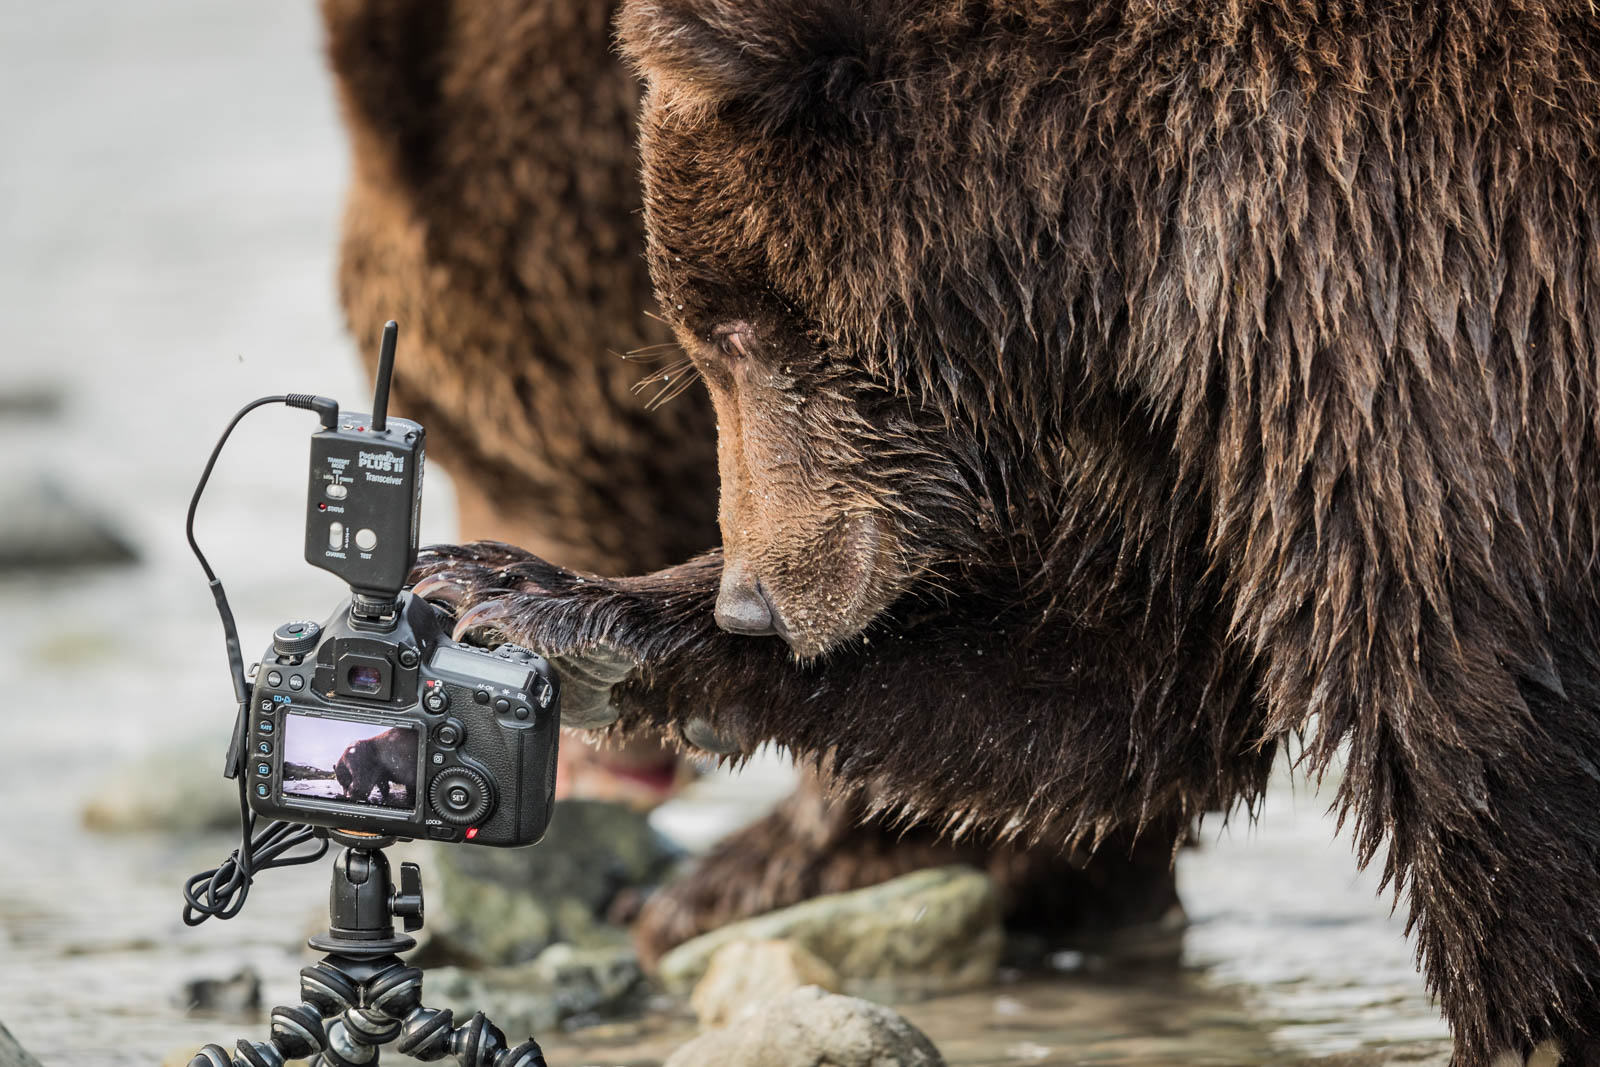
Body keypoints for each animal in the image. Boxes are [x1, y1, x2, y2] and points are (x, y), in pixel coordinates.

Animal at [409, 0, 1600, 1062]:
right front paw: (531, 606)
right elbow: (1118, 677)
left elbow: (1476, 712)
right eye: (700, 342)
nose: (754, 602)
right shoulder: (1195, 420)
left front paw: (1528, 1019)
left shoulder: (1405, 294)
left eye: (739, 329)